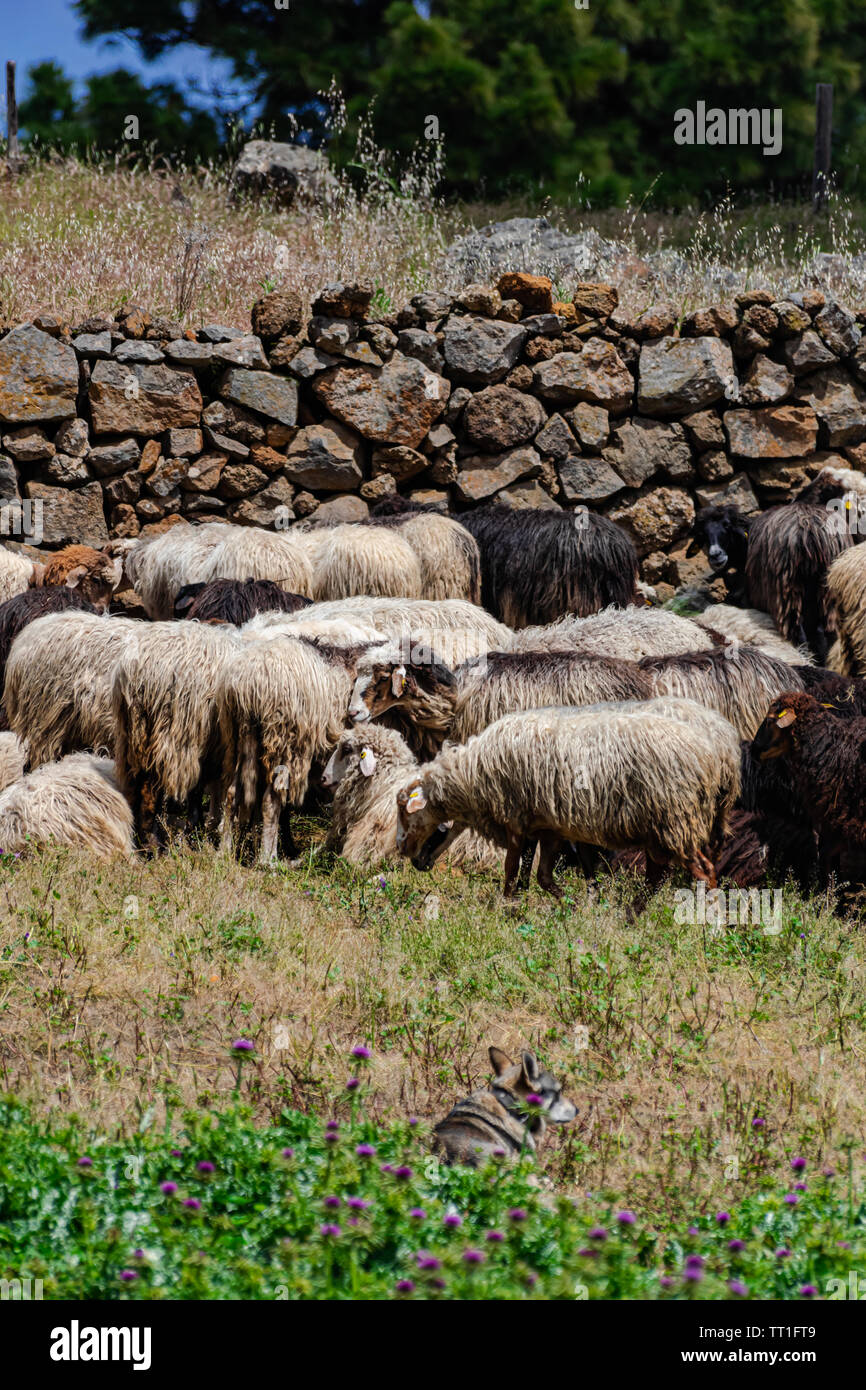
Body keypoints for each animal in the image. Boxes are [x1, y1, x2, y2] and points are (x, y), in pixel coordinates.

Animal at [395, 701, 740, 897]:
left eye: (405, 812)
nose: (404, 851)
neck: (474, 773)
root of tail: (719, 747)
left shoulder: (517, 818)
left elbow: (512, 868)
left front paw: (508, 905)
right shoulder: (547, 824)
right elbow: (539, 870)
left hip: (675, 818)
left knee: (697, 868)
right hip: (695, 819)